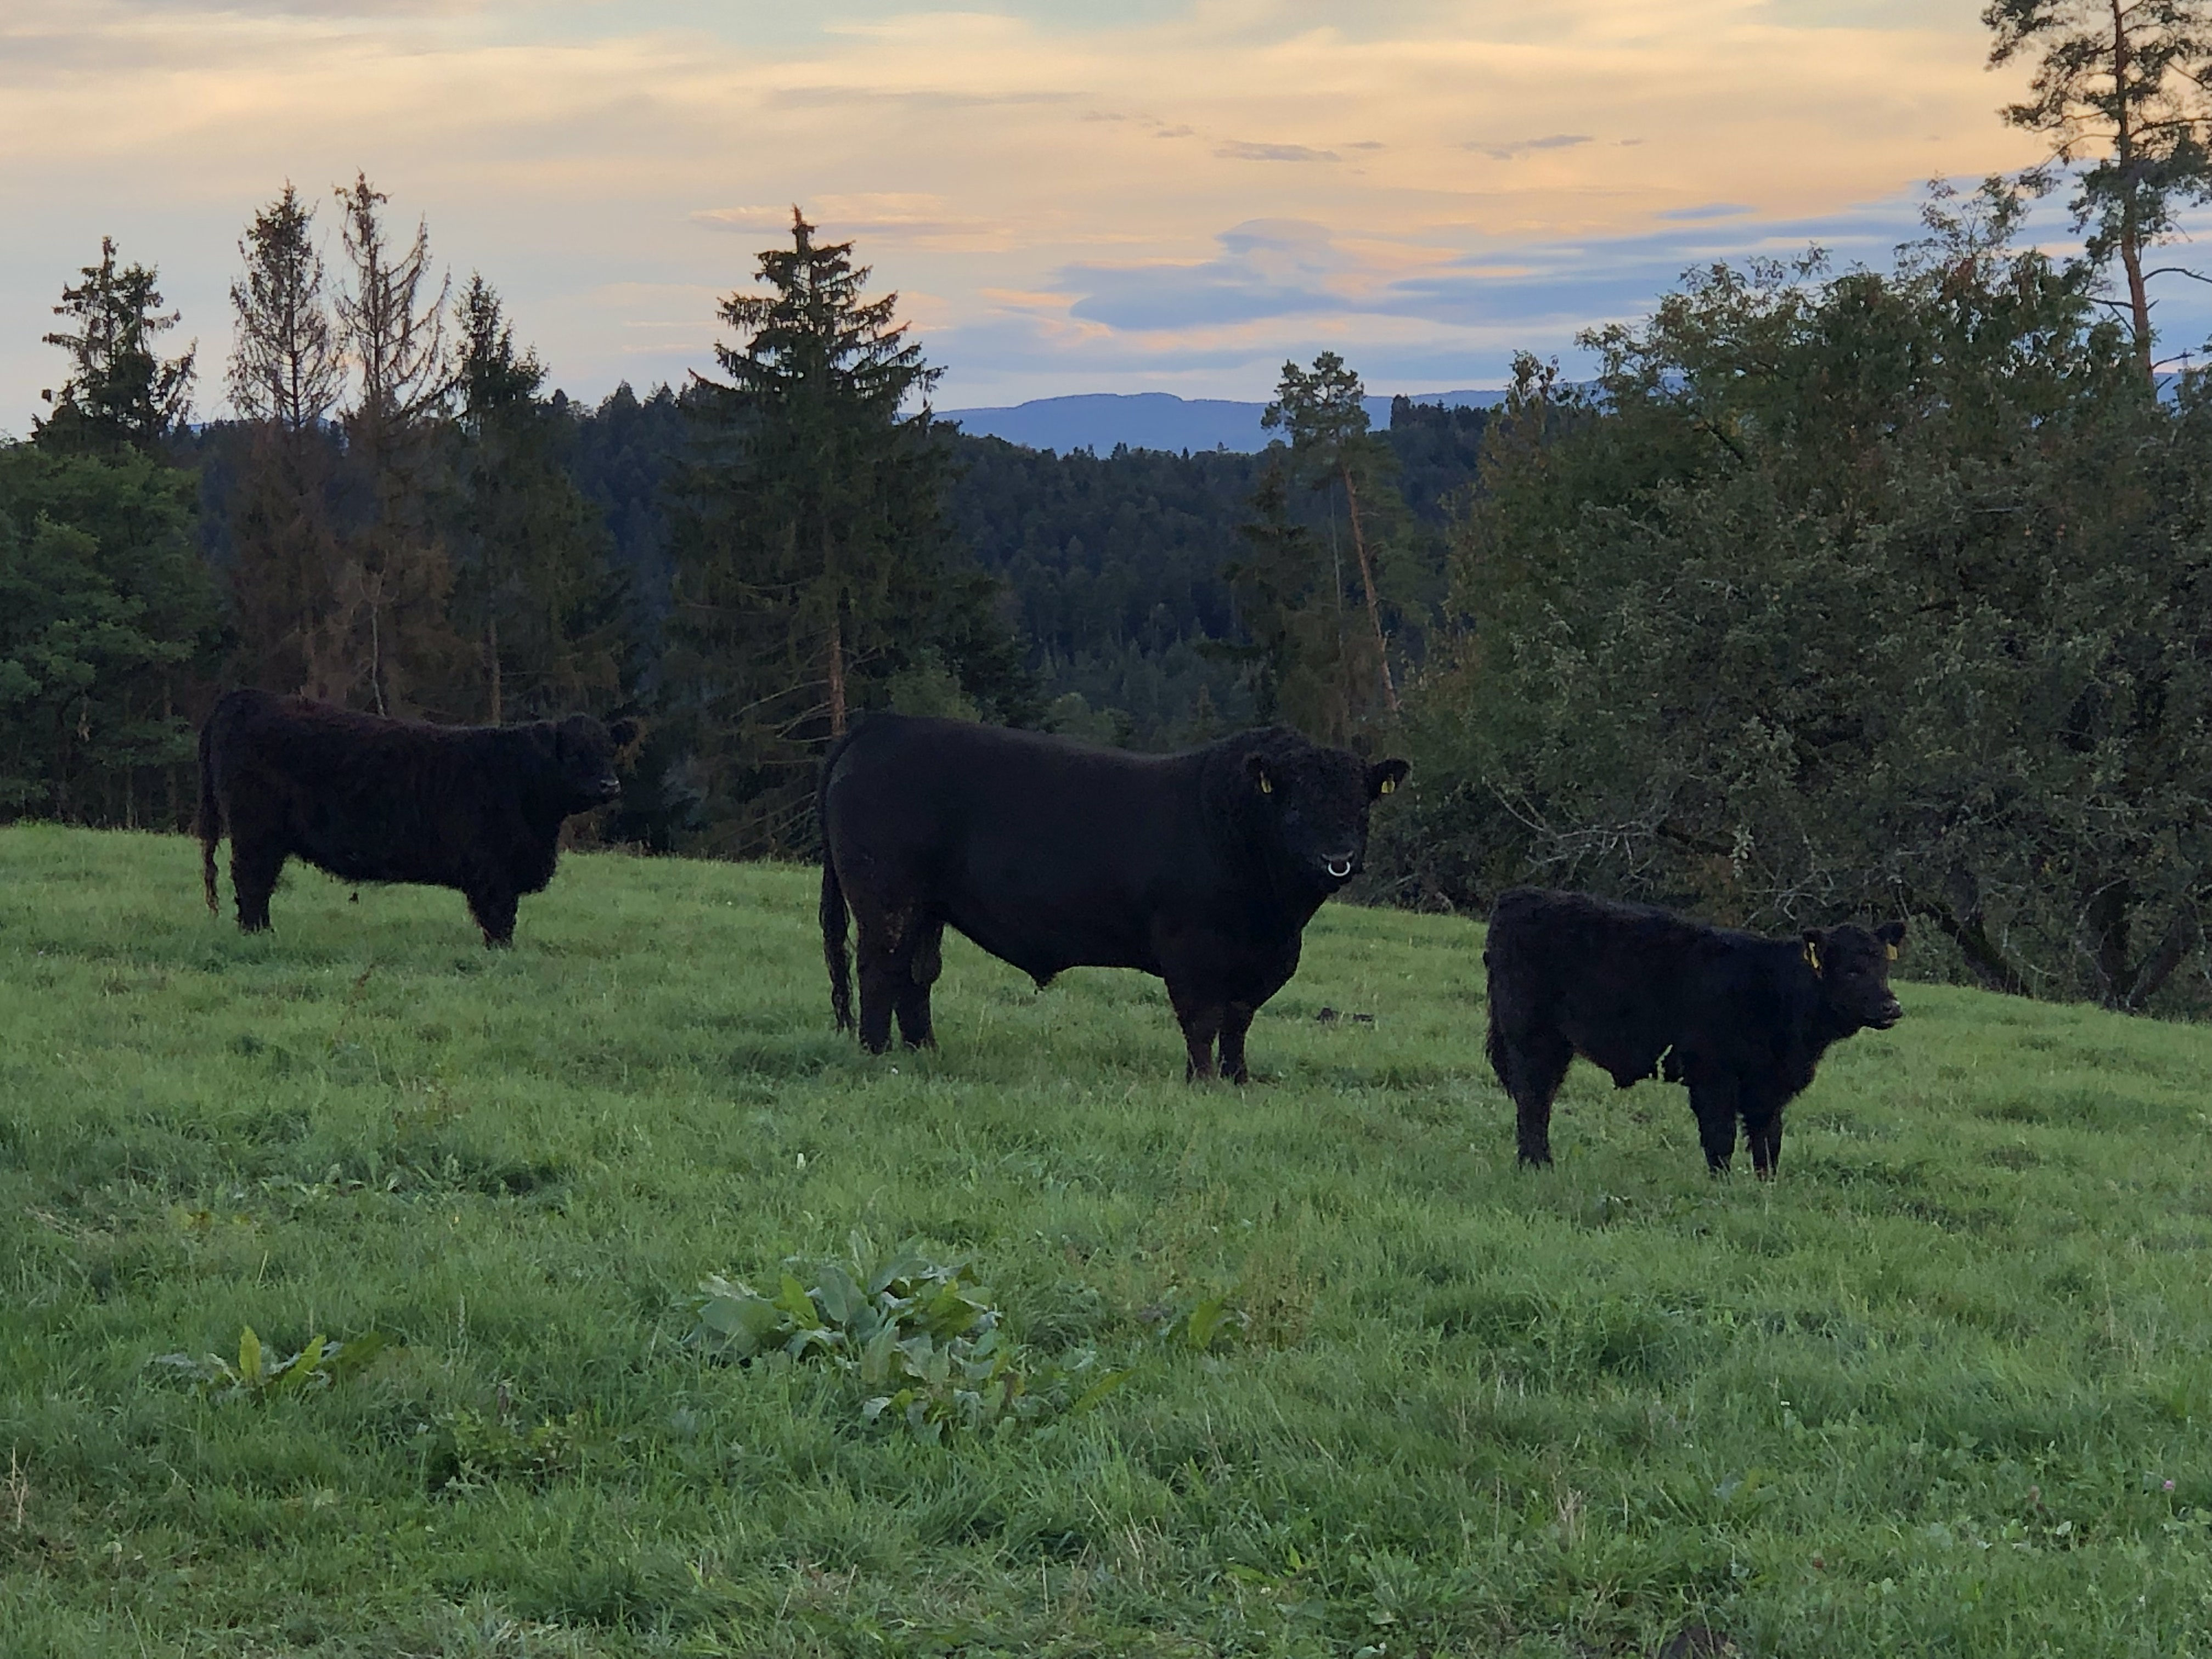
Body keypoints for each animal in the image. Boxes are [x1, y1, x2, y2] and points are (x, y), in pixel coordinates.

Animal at [197, 689, 636, 947]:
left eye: (609, 750)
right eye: (575, 753)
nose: (610, 785)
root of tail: (246, 697)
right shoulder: (494, 870)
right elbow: (499, 917)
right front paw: (501, 951)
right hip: (257, 832)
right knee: (252, 882)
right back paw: (259, 934)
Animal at [817, 713, 1409, 1080]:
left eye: (1361, 806)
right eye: (1295, 806)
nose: (1338, 858)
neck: (1274, 919)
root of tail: (885, 724)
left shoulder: (1262, 962)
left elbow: (1238, 1020)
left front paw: (1240, 1078)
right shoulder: (1190, 948)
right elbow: (1203, 1018)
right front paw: (1203, 1080)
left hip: (927, 907)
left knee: (917, 976)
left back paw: (925, 1053)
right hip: (887, 897)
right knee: (880, 969)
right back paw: (877, 1055)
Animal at [1483, 887, 1905, 1177]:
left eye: (1885, 966)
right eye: (1852, 970)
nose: (1892, 1007)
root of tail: (1518, 897)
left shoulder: (1768, 1084)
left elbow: (1769, 1141)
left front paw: (1765, 1188)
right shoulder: (1713, 1073)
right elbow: (1721, 1137)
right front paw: (1722, 1185)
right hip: (1532, 1036)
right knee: (1534, 1101)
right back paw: (1538, 1165)